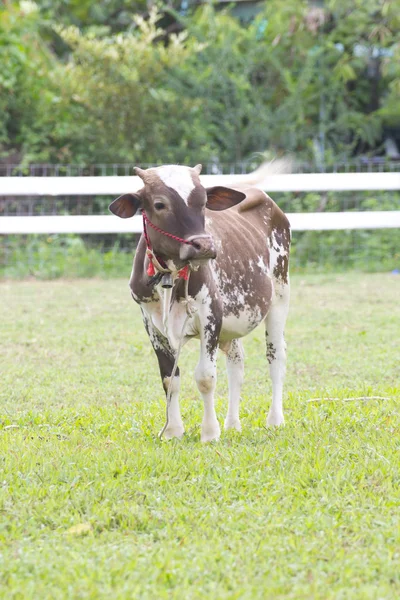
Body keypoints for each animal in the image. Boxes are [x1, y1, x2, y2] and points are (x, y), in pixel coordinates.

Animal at [109, 163, 290, 440]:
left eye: (204, 202)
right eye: (159, 204)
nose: (203, 245)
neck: (169, 275)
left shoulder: (210, 314)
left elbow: (205, 376)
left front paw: (210, 432)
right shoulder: (149, 322)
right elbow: (169, 378)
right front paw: (173, 430)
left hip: (280, 295)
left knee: (275, 356)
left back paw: (275, 419)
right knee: (236, 363)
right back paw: (232, 423)